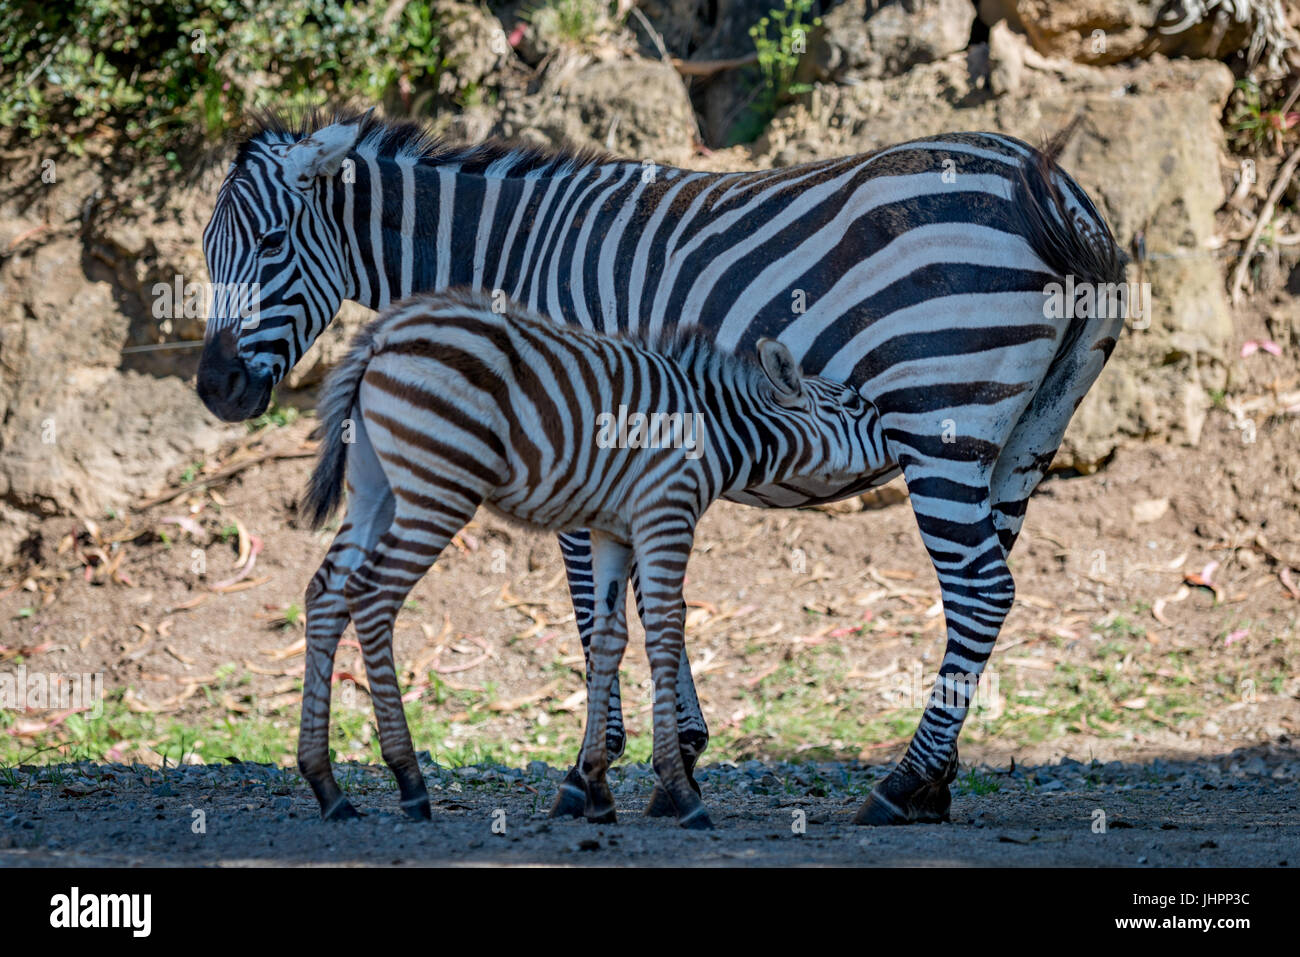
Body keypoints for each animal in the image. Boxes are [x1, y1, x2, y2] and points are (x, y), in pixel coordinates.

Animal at [298, 288, 888, 826]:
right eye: (856, 407)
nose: (902, 445)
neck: (715, 427)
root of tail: (381, 335)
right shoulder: (665, 512)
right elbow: (664, 634)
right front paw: (680, 791)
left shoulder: (613, 530)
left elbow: (608, 638)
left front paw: (598, 789)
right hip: (438, 487)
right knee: (372, 597)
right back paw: (408, 779)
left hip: (375, 488)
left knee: (326, 593)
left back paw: (328, 788)